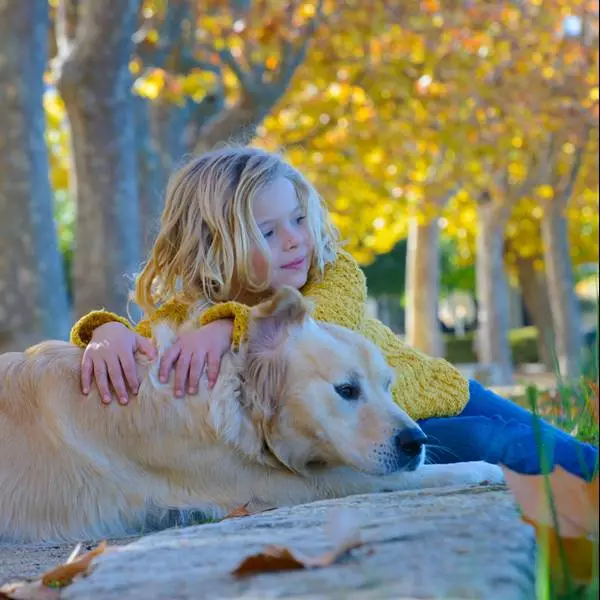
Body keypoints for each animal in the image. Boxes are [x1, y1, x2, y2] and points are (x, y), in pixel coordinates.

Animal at [0, 288, 502, 544]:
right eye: (346, 390)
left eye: (388, 385)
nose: (416, 442)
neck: (233, 389)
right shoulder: (288, 484)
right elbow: (411, 477)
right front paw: (482, 467)